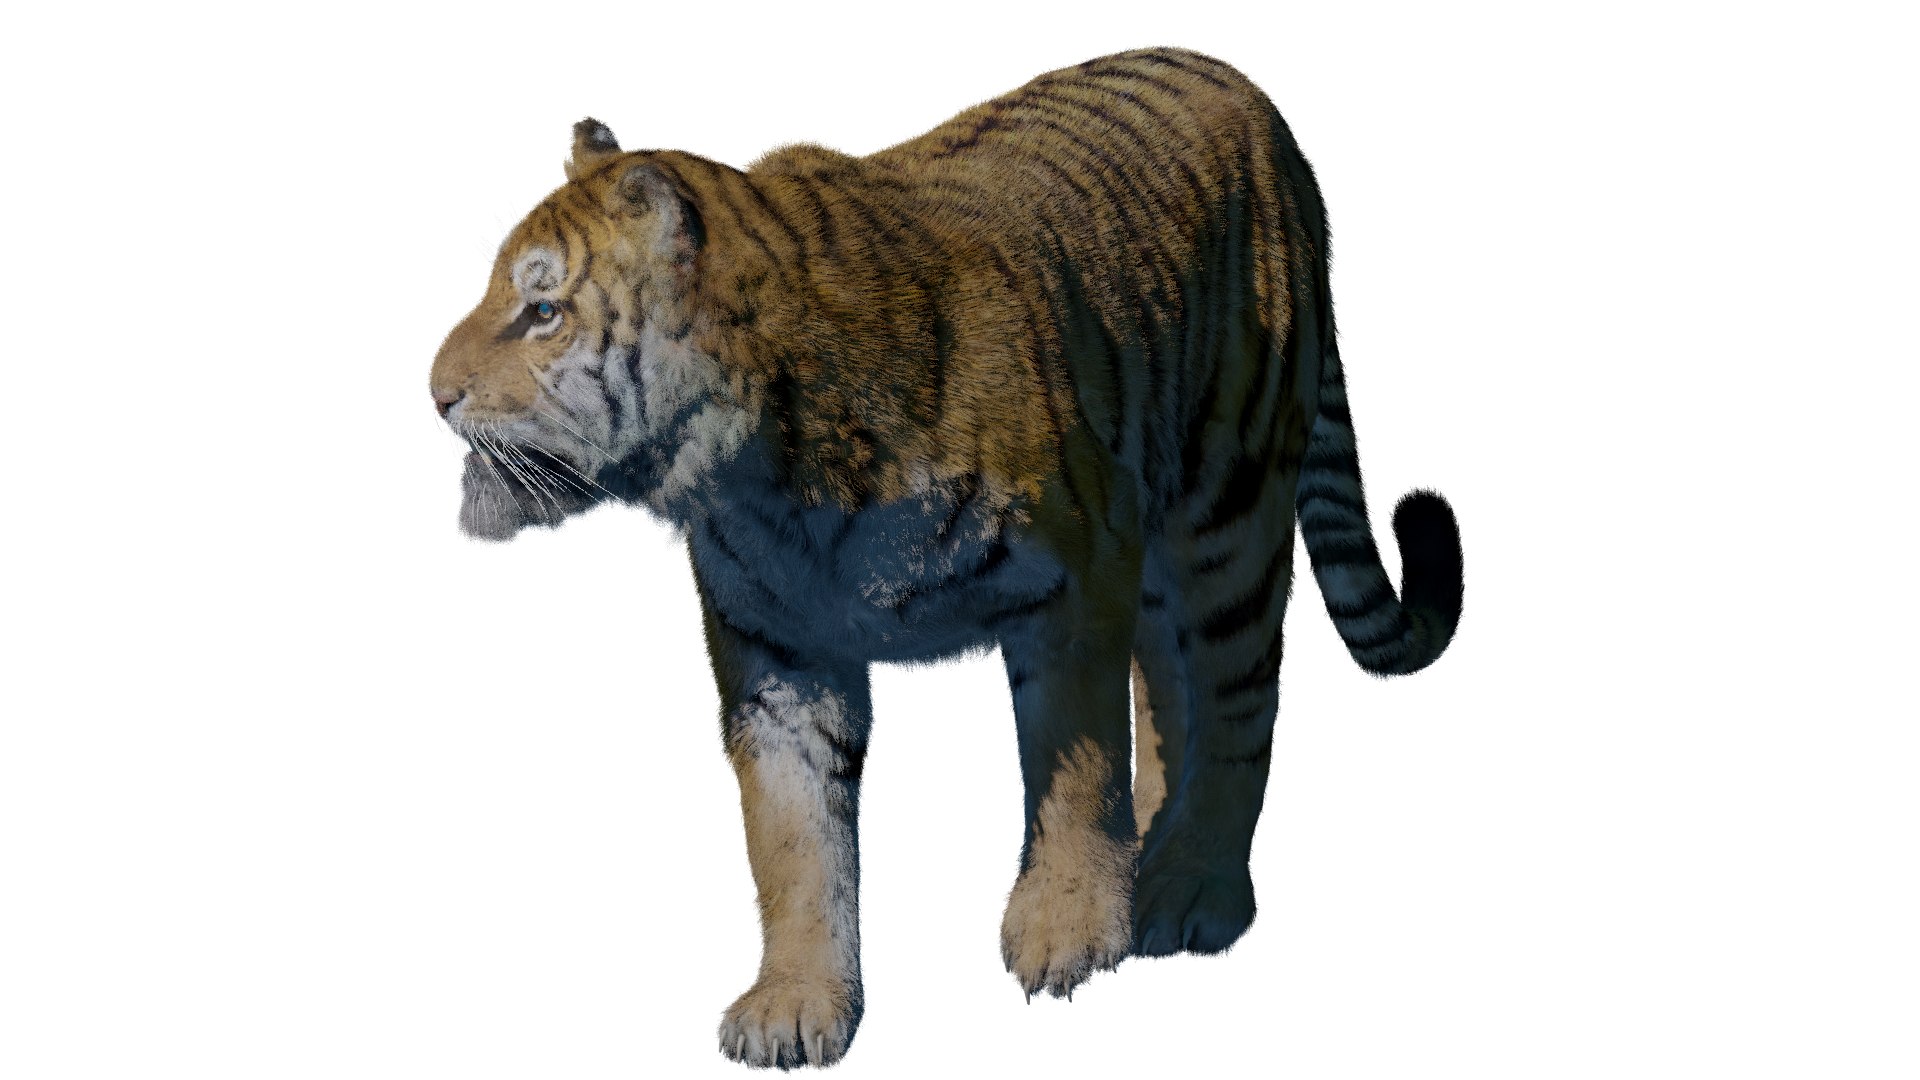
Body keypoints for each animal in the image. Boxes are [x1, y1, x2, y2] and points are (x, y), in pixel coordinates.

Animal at [429, 46, 1464, 1068]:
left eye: (543, 310)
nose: (433, 394)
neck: (768, 474)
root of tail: (1247, 90)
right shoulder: (779, 655)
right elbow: (792, 837)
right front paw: (796, 1003)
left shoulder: (1073, 579)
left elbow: (1075, 763)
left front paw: (1066, 928)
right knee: (1170, 691)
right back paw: (1153, 851)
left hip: (1228, 507)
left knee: (1238, 699)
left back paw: (1193, 885)